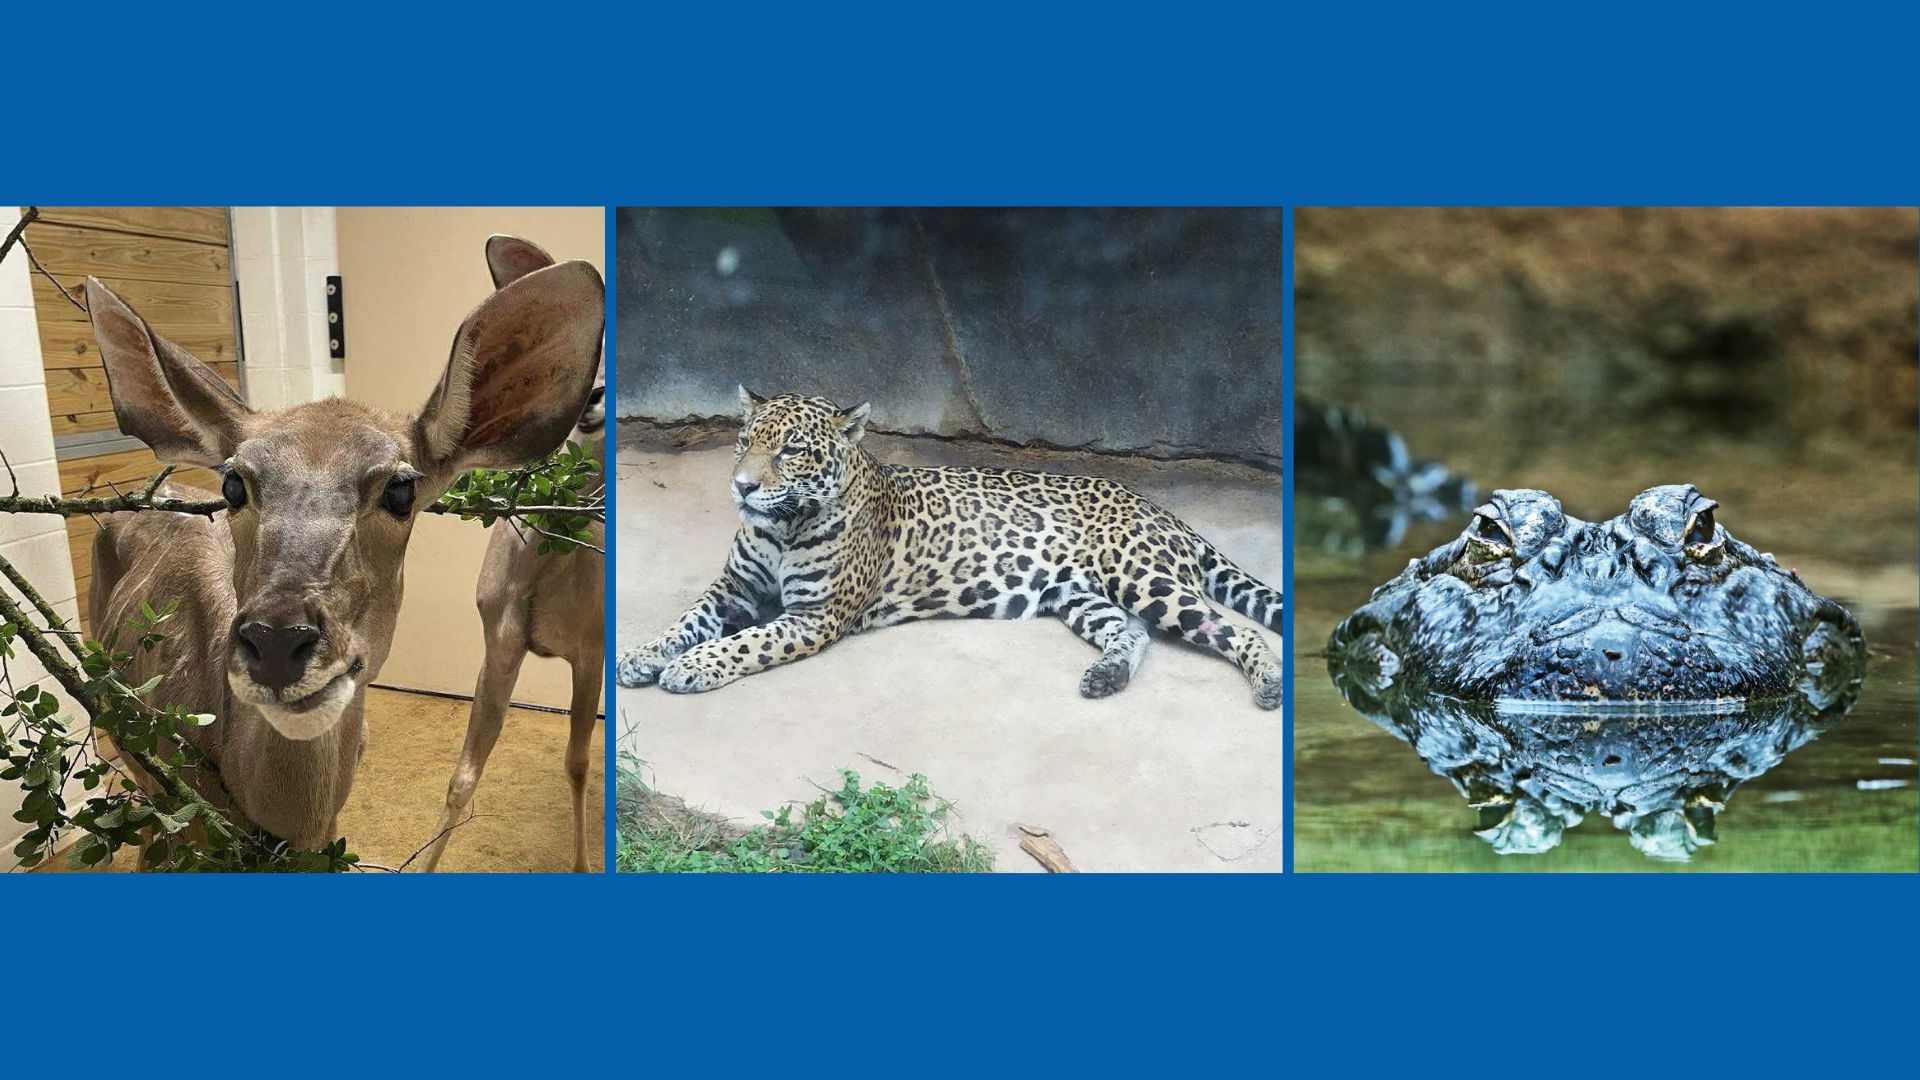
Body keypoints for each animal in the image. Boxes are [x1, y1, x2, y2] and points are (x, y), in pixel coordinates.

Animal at [617, 388, 1285, 709]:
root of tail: (1161, 508)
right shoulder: (733, 588)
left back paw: (1270, 685)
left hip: (1144, 576)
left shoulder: (814, 616)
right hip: (1077, 595)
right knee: (1133, 632)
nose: (742, 486)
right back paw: (1106, 675)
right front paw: (642, 655)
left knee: (1234, 630)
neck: (782, 528)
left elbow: (745, 642)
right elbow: (686, 621)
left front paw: (691, 667)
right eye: (745, 442)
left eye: (792, 451)